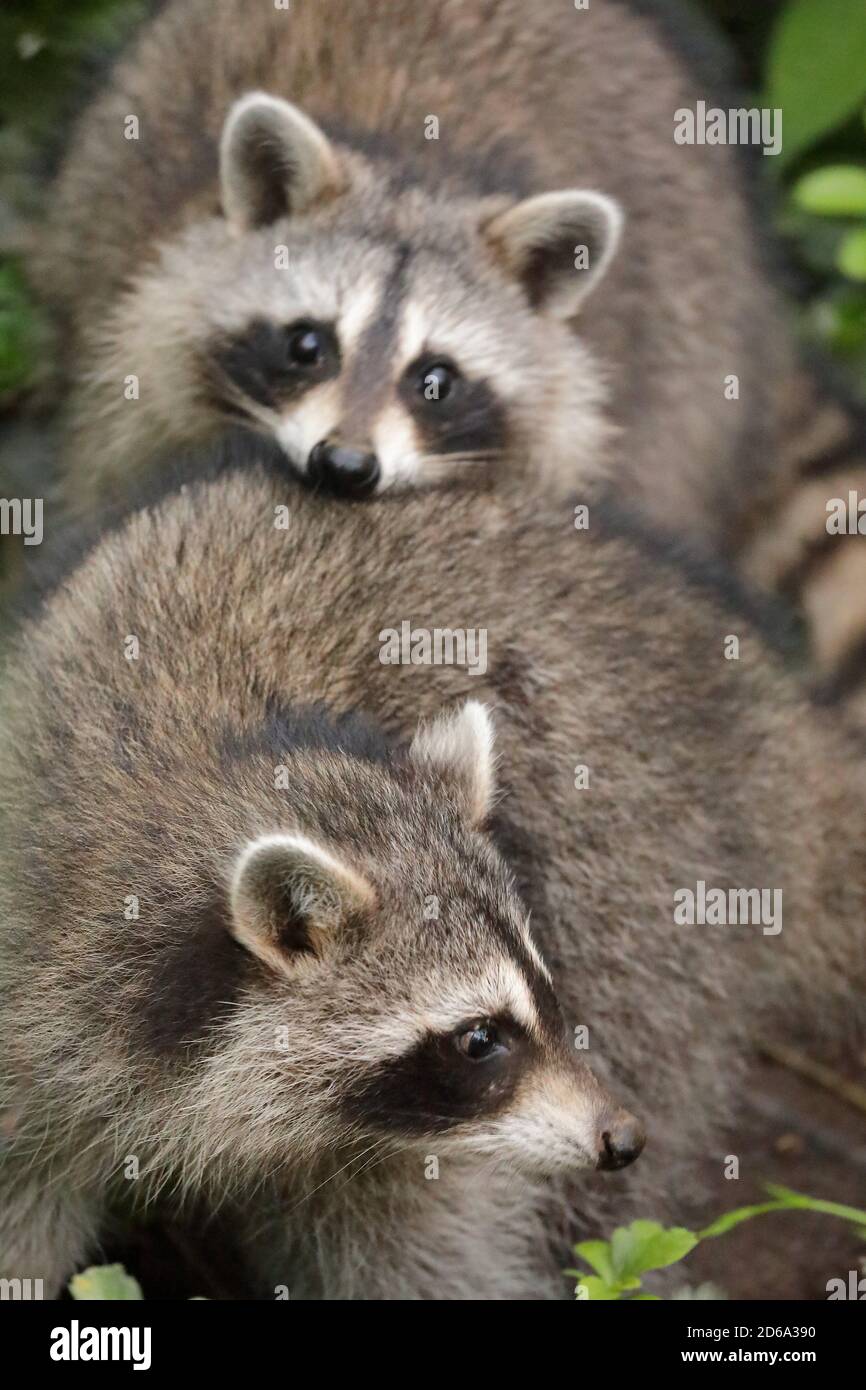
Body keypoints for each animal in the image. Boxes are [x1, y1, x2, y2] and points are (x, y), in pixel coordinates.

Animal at [4, 442, 864, 1297]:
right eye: (480, 1038)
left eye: (548, 996)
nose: (619, 1137)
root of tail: (768, 708)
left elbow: (424, 1253)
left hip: (642, 858)